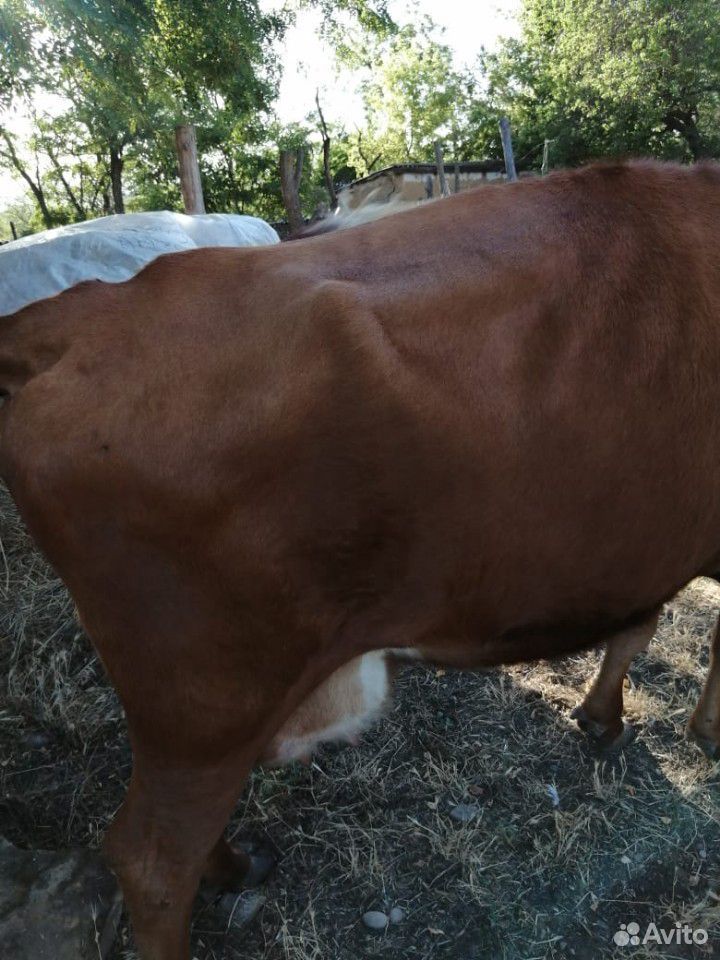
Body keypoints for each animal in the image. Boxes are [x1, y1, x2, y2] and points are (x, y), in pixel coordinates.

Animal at [1, 160, 720, 959]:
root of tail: (82, 311)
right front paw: (697, 730)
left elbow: (640, 623)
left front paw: (604, 717)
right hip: (208, 697)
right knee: (151, 858)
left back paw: (238, 866)